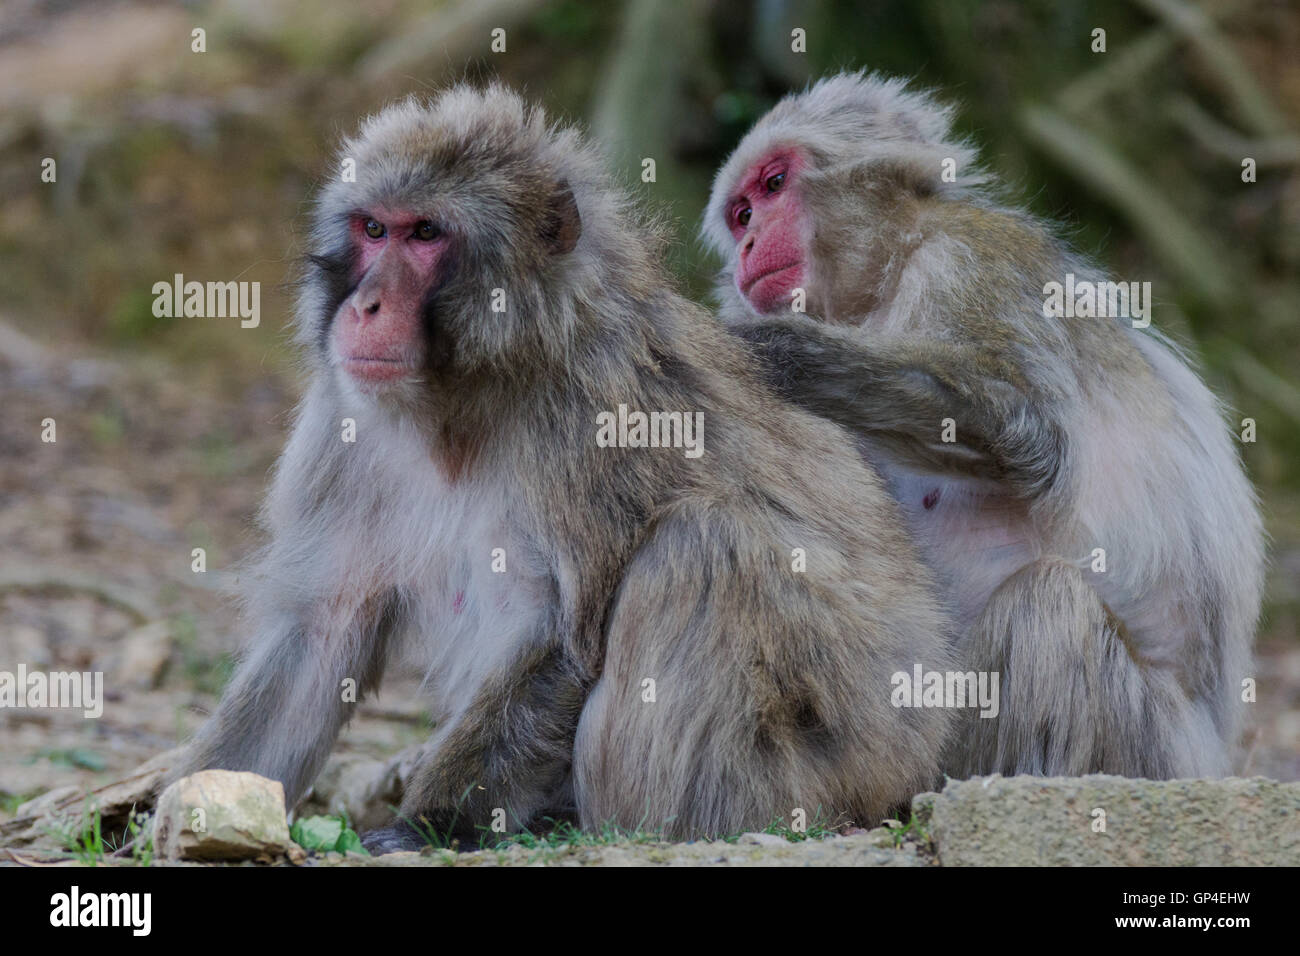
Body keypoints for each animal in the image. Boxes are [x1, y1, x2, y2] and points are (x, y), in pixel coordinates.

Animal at [171, 82, 955, 852]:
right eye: (372, 230)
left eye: (425, 234)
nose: (364, 305)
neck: (465, 396)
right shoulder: (344, 419)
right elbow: (320, 634)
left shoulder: (596, 416)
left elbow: (567, 639)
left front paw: (427, 825)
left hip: (832, 766)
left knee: (703, 543)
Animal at [701, 72, 1265, 780]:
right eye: (740, 215)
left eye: (773, 186)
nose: (747, 246)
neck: (885, 282)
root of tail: (1211, 752)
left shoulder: (971, 263)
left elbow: (1033, 435)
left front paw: (783, 352)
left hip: (1152, 752)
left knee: (1047, 605)